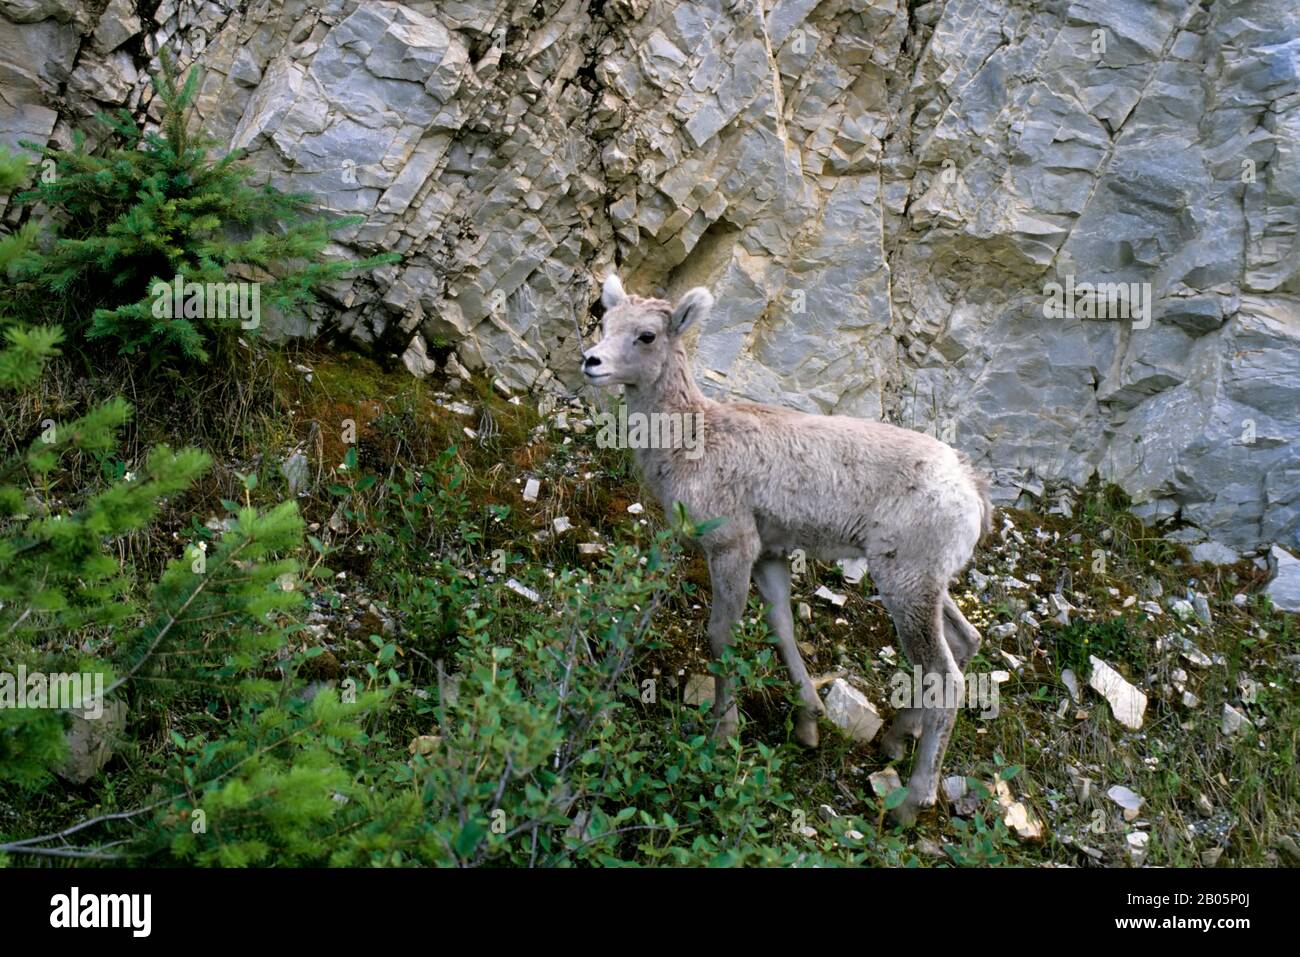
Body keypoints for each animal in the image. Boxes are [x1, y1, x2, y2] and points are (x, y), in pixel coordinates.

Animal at [581, 275, 993, 823]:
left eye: (646, 335)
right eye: (606, 322)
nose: (591, 361)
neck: (694, 442)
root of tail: (971, 491)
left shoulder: (731, 546)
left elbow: (722, 635)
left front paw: (724, 731)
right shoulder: (768, 554)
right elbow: (782, 628)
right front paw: (808, 725)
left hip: (907, 585)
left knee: (946, 677)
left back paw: (911, 802)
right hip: (925, 582)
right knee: (965, 641)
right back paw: (892, 740)